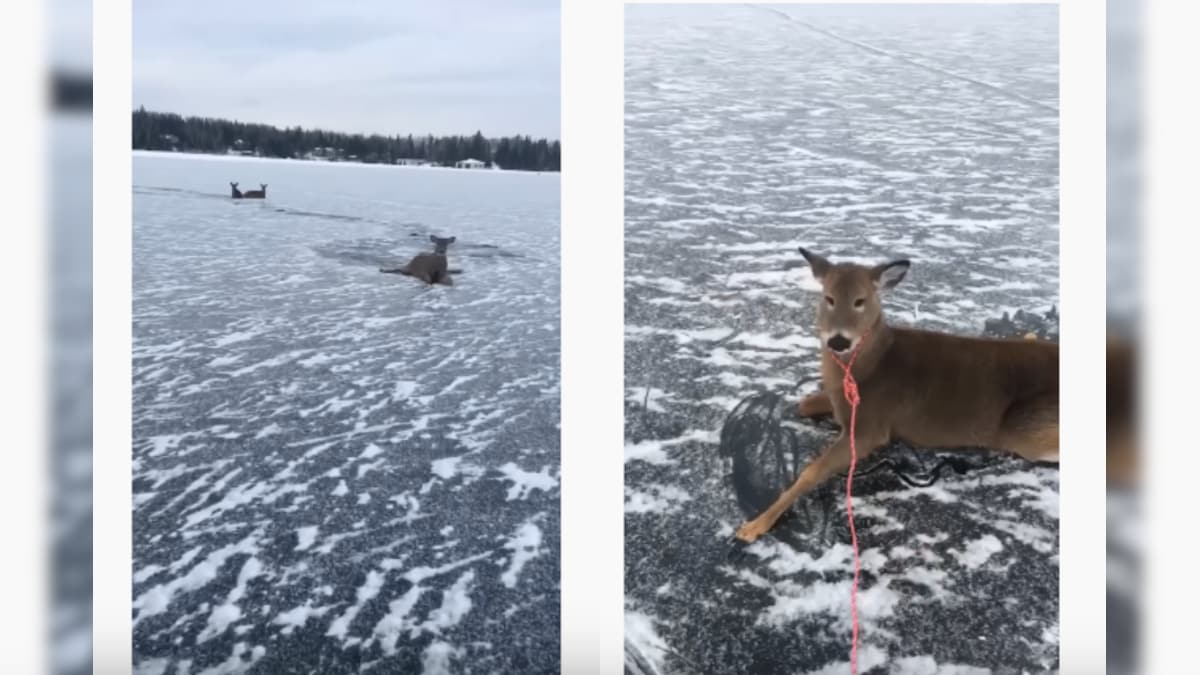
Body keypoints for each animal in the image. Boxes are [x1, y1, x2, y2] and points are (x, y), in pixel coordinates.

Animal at [734, 247, 1059, 543]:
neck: (867, 367)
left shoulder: (870, 426)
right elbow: (804, 403)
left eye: (860, 301)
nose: (838, 340)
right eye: (828, 298)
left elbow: (811, 471)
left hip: (1024, 430)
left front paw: (755, 525)